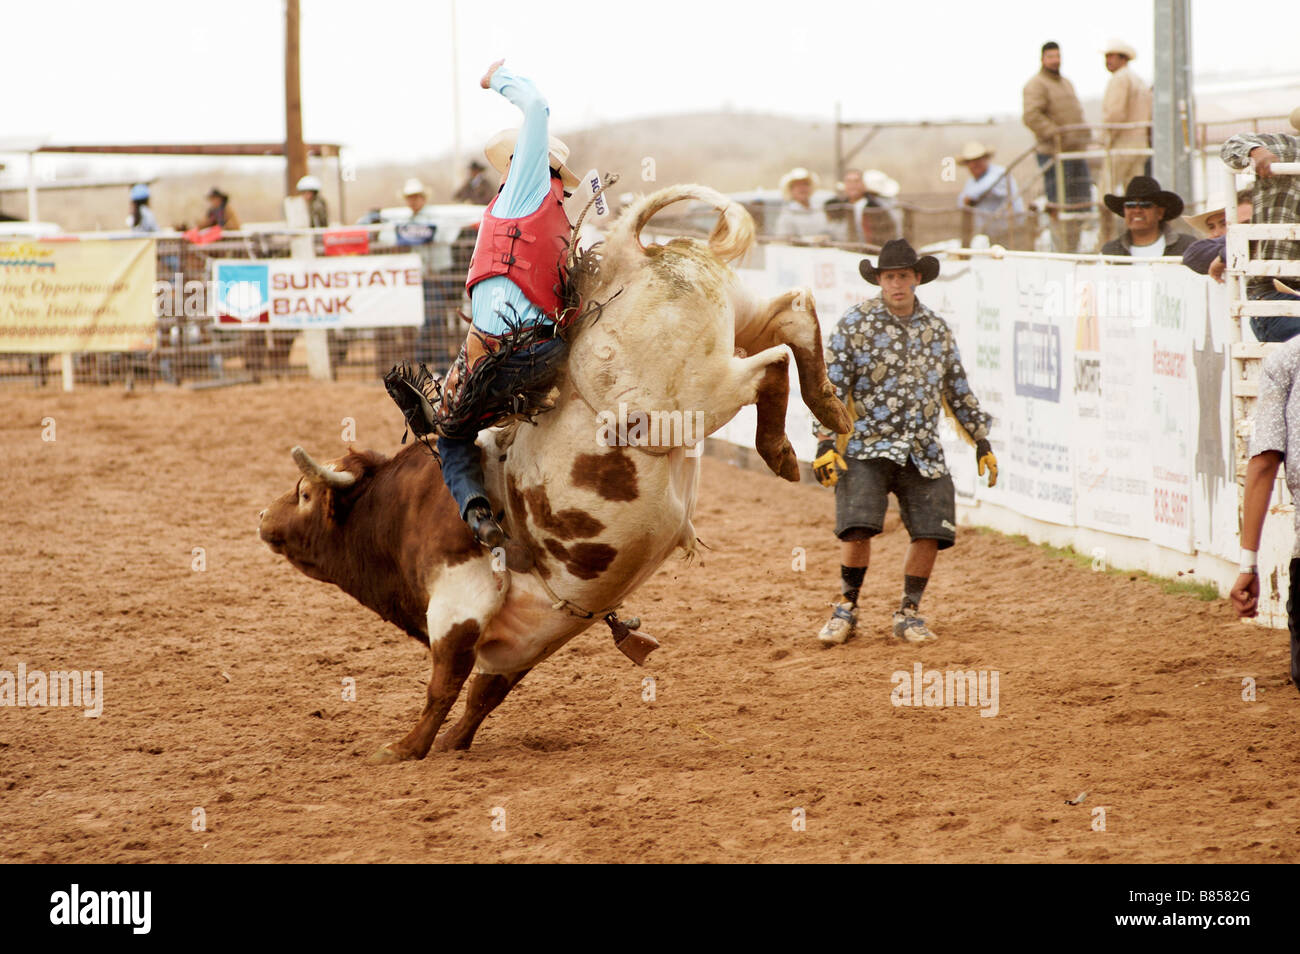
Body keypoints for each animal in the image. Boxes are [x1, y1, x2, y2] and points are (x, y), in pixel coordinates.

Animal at [258, 184, 850, 761]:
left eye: (303, 492)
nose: (263, 517)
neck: (401, 508)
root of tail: (631, 255)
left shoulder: (458, 605)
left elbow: (444, 684)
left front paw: (406, 748)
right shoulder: (528, 636)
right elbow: (485, 693)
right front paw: (453, 743)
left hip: (693, 398)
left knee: (770, 365)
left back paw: (780, 447)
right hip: (738, 316)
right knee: (795, 310)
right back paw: (829, 405)